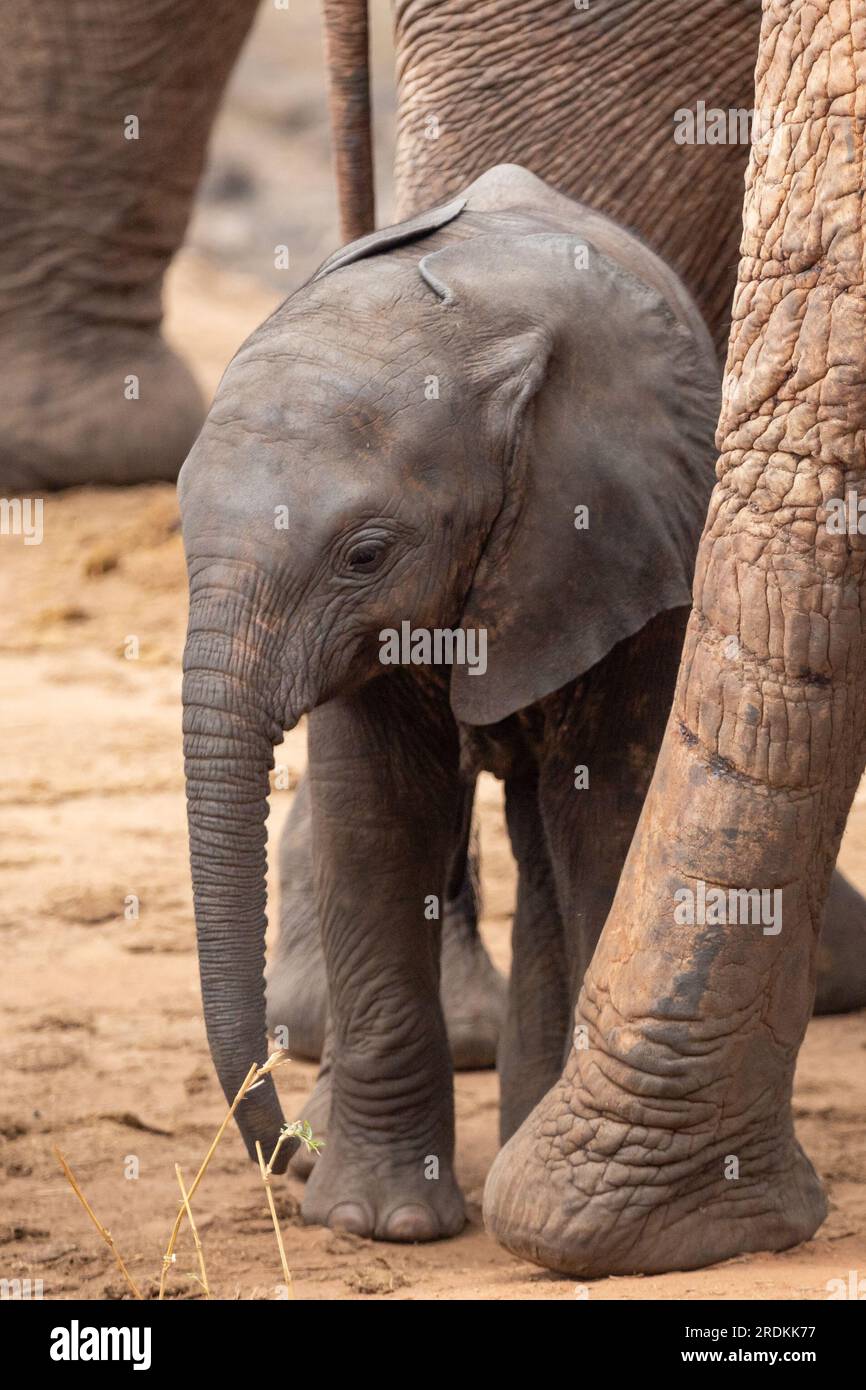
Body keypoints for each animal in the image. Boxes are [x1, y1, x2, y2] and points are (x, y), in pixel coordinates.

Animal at [180, 161, 724, 1239]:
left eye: (364, 555)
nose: (288, 1161)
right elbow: (376, 820)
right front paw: (373, 1221)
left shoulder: (631, 543)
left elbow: (607, 813)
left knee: (551, 833)